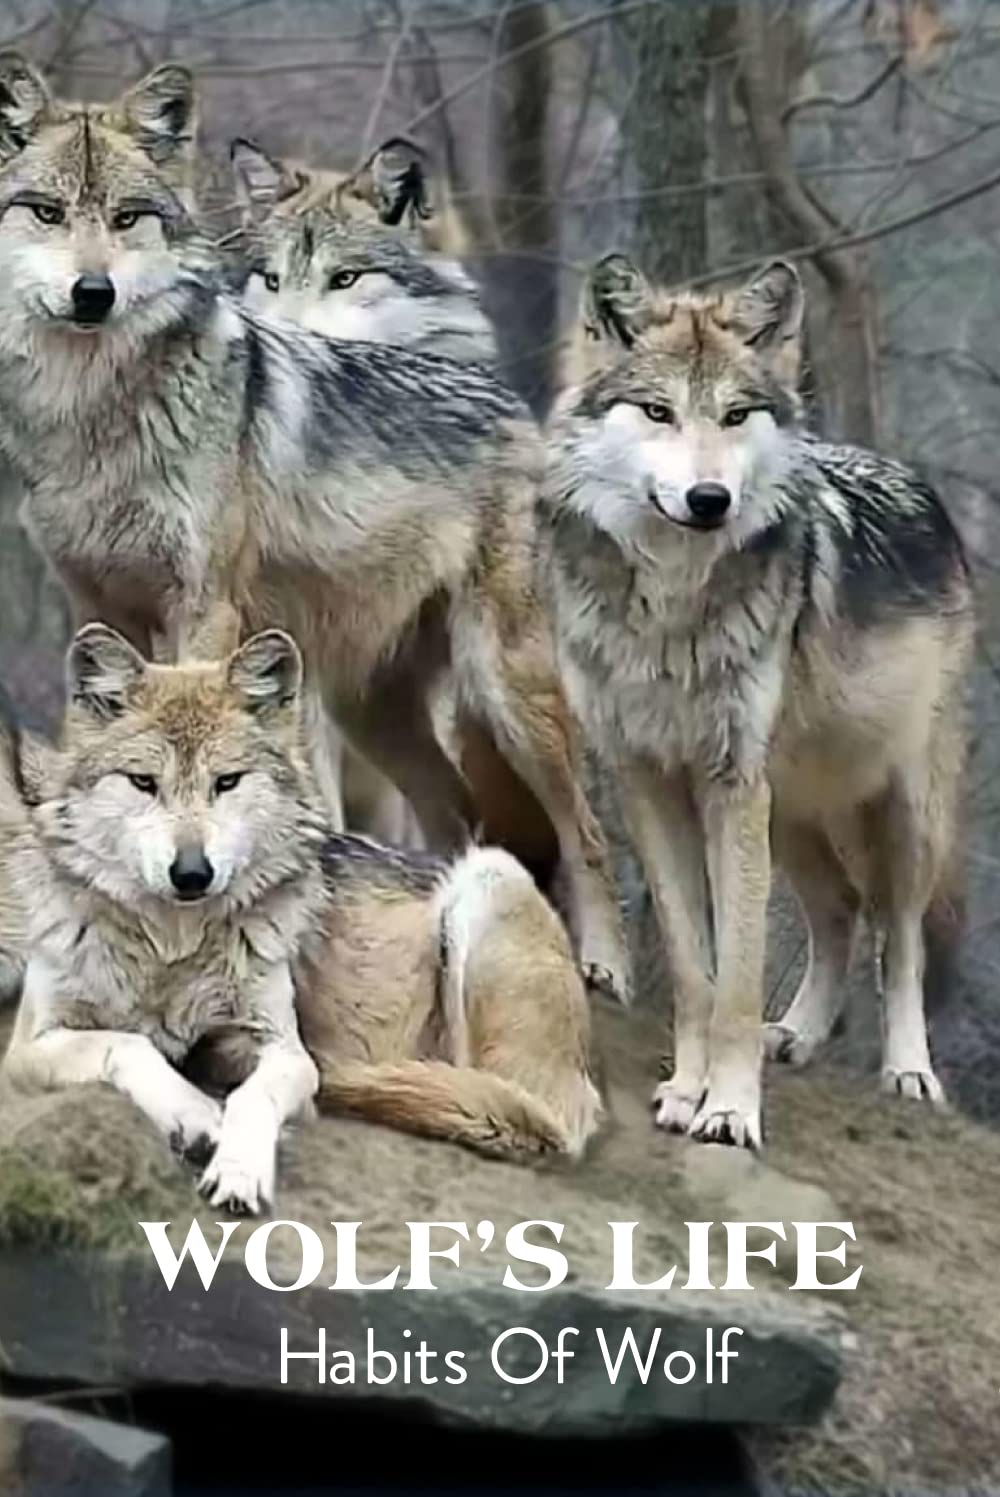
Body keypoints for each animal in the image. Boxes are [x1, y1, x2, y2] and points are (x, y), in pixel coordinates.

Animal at [0, 54, 627, 1001]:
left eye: (127, 217)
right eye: (44, 212)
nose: (92, 293)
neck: (97, 410)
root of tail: (517, 406)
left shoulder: (208, 606)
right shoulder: (94, 605)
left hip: (509, 693)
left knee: (582, 828)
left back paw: (605, 960)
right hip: (374, 708)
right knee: (461, 811)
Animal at [1, 626, 601, 1211]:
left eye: (227, 782)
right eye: (144, 782)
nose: (192, 873)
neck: (172, 947)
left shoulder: (283, 1048)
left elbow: (252, 1095)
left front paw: (239, 1169)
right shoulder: (29, 1046)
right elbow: (128, 1045)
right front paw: (194, 1114)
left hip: (489, 877)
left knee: (502, 1104)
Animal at [543, 253, 973, 1148]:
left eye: (736, 414)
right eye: (659, 411)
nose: (710, 499)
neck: (670, 611)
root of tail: (913, 480)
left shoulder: (731, 785)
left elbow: (738, 972)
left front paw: (731, 1108)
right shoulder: (649, 780)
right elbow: (695, 965)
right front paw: (685, 1090)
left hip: (903, 809)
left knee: (899, 934)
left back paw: (909, 1069)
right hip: (794, 811)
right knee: (840, 909)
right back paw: (799, 1034)